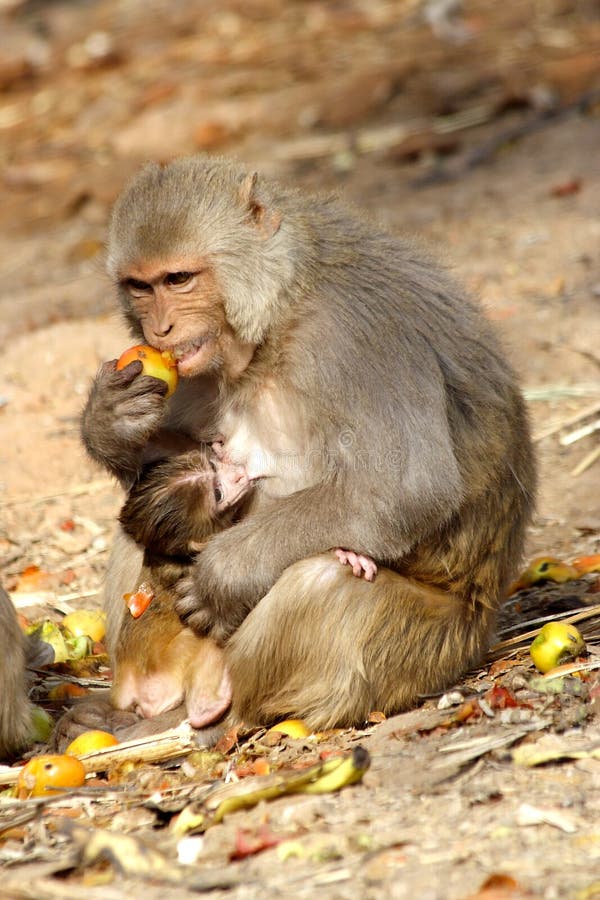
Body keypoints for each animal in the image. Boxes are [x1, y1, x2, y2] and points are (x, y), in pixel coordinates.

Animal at [79, 154, 535, 731]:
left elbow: (406, 489)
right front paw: (110, 420)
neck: (279, 314)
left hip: (438, 646)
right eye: (140, 285)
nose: (159, 330)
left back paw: (224, 715)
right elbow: (164, 461)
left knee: (320, 580)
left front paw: (222, 577)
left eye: (178, 279)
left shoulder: (355, 338)